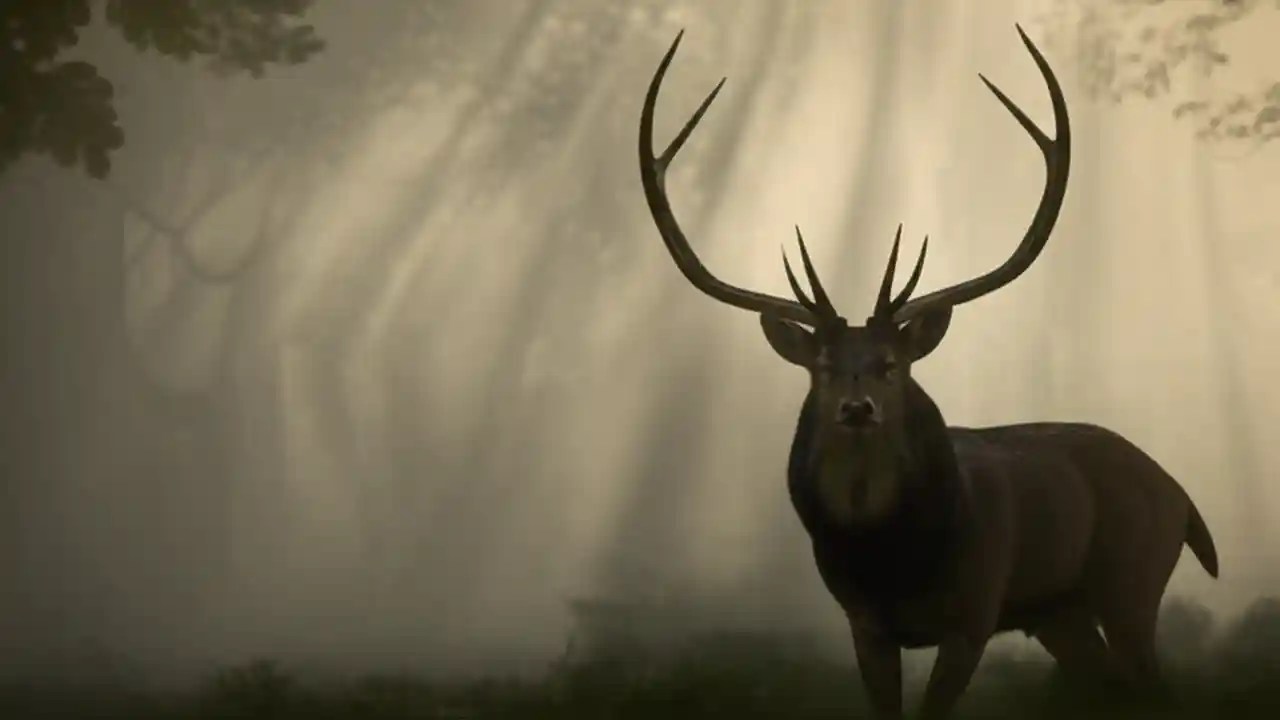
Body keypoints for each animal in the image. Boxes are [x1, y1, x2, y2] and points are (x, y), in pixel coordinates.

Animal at [637, 25, 1220, 720]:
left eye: (891, 365)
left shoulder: (976, 609)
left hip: (1131, 575)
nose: (856, 408)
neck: (892, 563)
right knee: (1106, 684)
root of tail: (1184, 497)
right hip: (1059, 612)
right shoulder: (862, 625)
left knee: (1155, 684)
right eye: (823, 367)